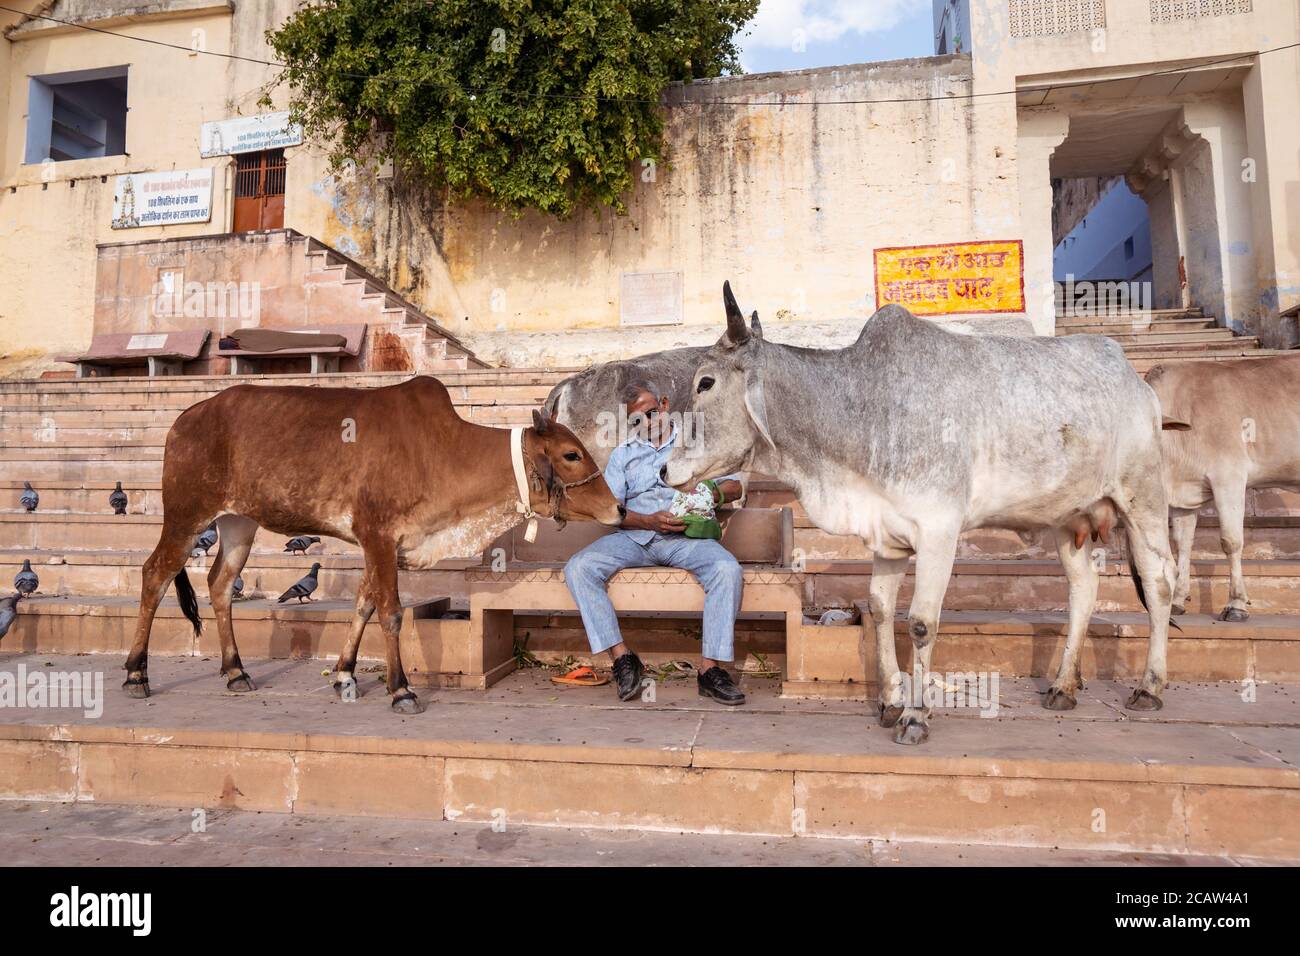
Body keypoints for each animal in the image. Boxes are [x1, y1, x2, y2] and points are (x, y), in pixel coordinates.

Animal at [124, 377, 623, 714]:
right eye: (571, 454)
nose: (617, 508)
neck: (443, 452)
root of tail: (187, 416)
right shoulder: (379, 535)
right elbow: (391, 612)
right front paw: (400, 689)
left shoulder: (384, 545)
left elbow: (364, 604)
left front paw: (344, 674)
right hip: (186, 514)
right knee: (155, 574)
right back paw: (136, 673)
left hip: (237, 523)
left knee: (221, 584)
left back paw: (236, 671)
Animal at [665, 283, 1181, 744]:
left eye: (705, 382)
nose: (668, 468)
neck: (863, 412)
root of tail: (1137, 382)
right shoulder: (887, 534)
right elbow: (878, 608)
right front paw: (891, 702)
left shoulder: (938, 530)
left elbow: (919, 622)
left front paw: (915, 717)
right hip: (1068, 519)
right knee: (1083, 589)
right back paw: (1063, 686)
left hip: (1143, 498)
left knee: (1160, 582)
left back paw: (1150, 688)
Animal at [1146, 356, 1300, 621]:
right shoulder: (1183, 493)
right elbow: (1182, 542)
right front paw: (1177, 600)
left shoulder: (1229, 476)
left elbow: (1231, 541)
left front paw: (1236, 604)